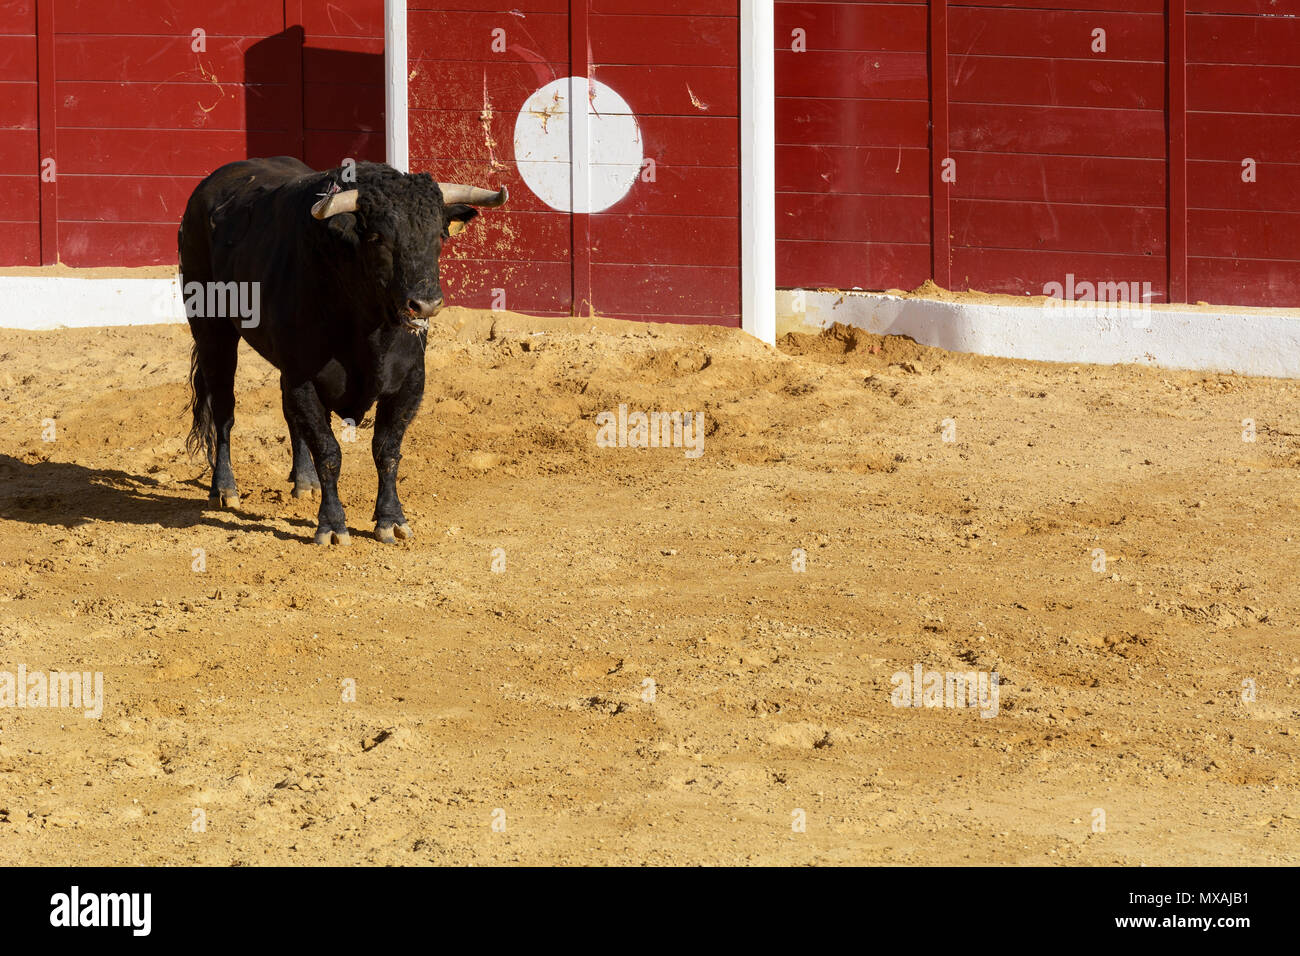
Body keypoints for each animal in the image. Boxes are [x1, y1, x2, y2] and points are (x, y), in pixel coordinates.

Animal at [179, 157, 507, 545]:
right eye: (378, 238)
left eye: (438, 235)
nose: (425, 304)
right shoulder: (303, 379)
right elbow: (329, 451)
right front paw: (332, 525)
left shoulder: (410, 381)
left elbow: (386, 450)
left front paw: (391, 519)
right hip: (212, 330)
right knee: (224, 410)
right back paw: (224, 488)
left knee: (289, 415)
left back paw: (304, 481)